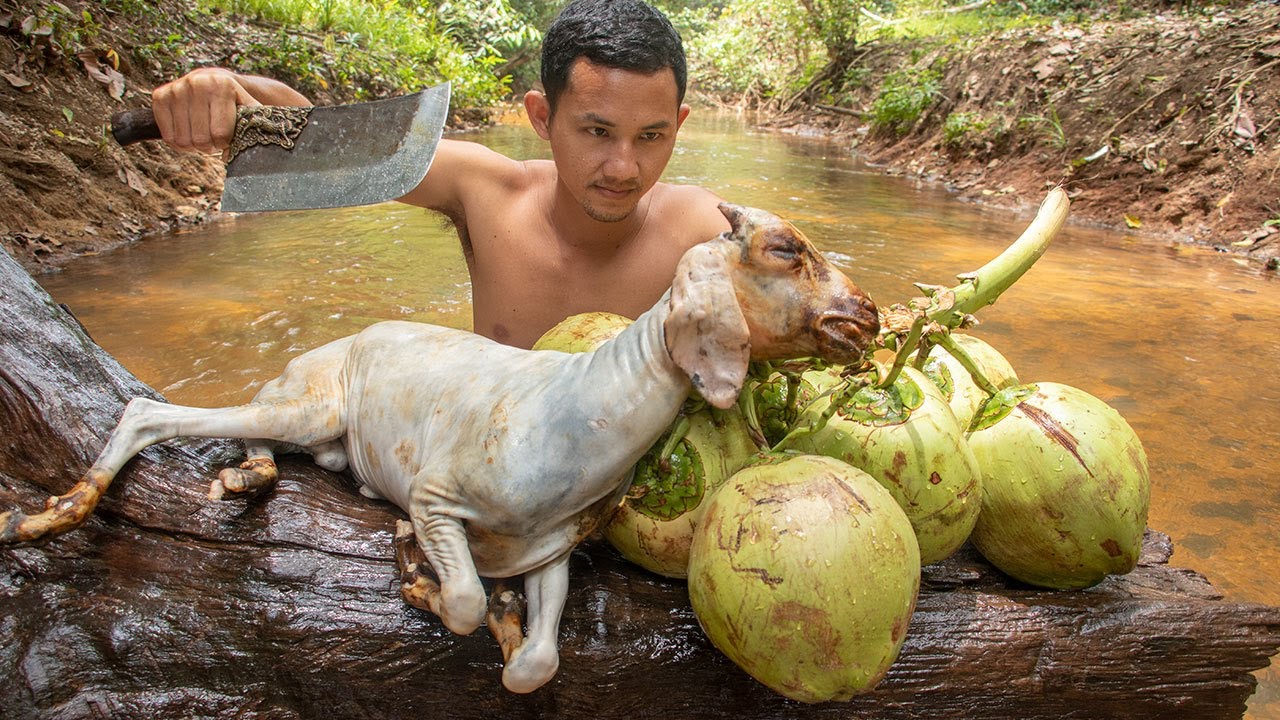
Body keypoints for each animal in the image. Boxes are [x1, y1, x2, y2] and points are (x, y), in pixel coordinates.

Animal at [0, 203, 879, 693]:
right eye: (785, 248)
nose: (867, 313)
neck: (590, 410)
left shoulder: (549, 551)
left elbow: (535, 668)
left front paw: (512, 629)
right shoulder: (437, 494)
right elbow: (457, 599)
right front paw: (422, 578)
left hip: (304, 421)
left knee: (249, 437)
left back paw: (248, 480)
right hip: (312, 402)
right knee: (151, 412)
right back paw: (53, 514)